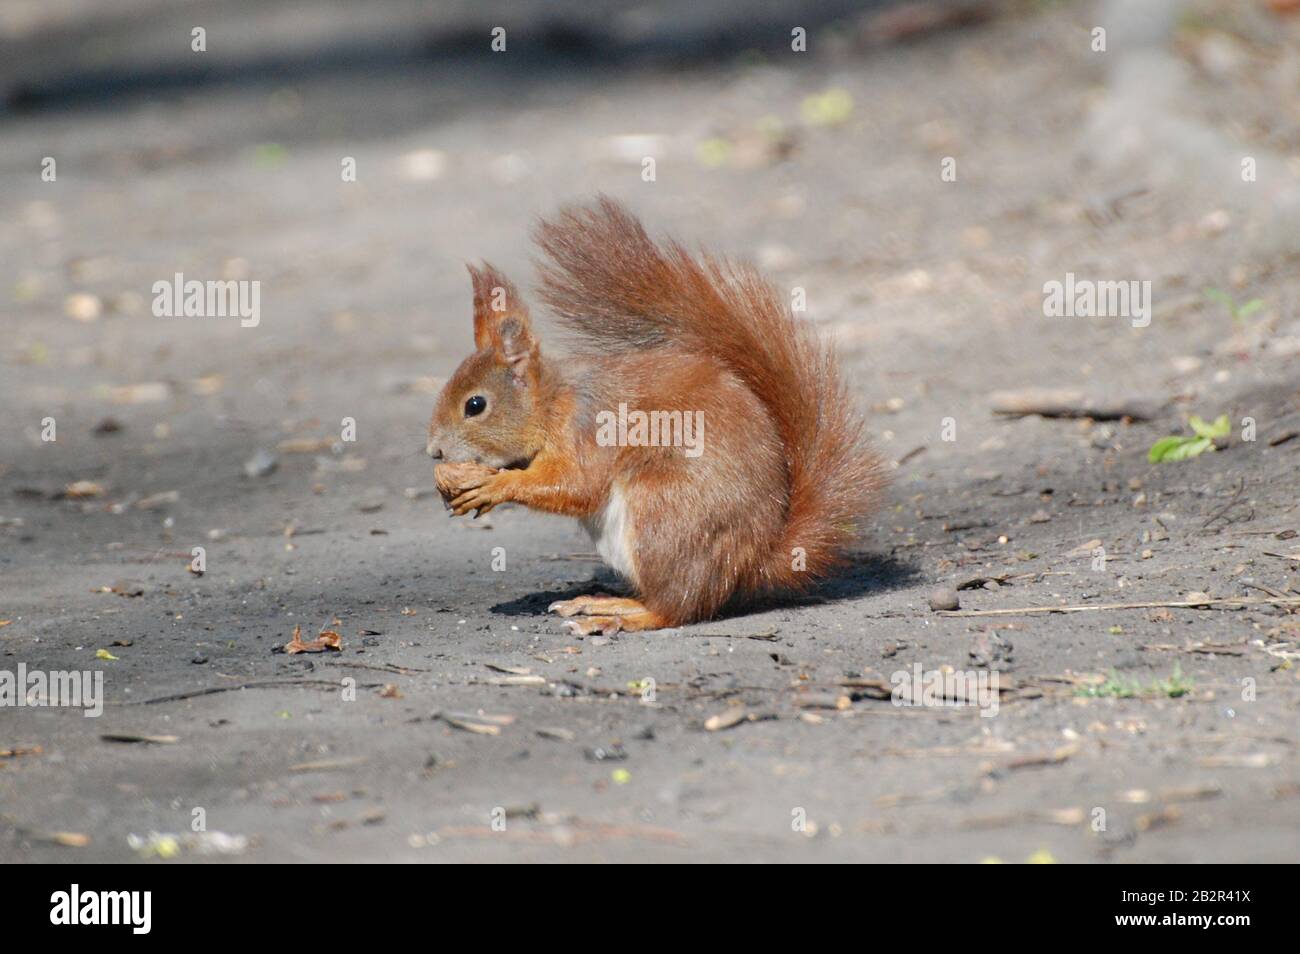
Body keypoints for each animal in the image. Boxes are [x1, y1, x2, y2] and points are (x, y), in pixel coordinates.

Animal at [428, 197, 885, 635]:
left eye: (475, 405)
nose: (434, 452)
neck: (553, 402)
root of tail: (753, 561)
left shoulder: (587, 431)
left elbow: (575, 485)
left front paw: (496, 485)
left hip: (660, 512)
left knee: (675, 608)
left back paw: (618, 617)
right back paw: (606, 601)